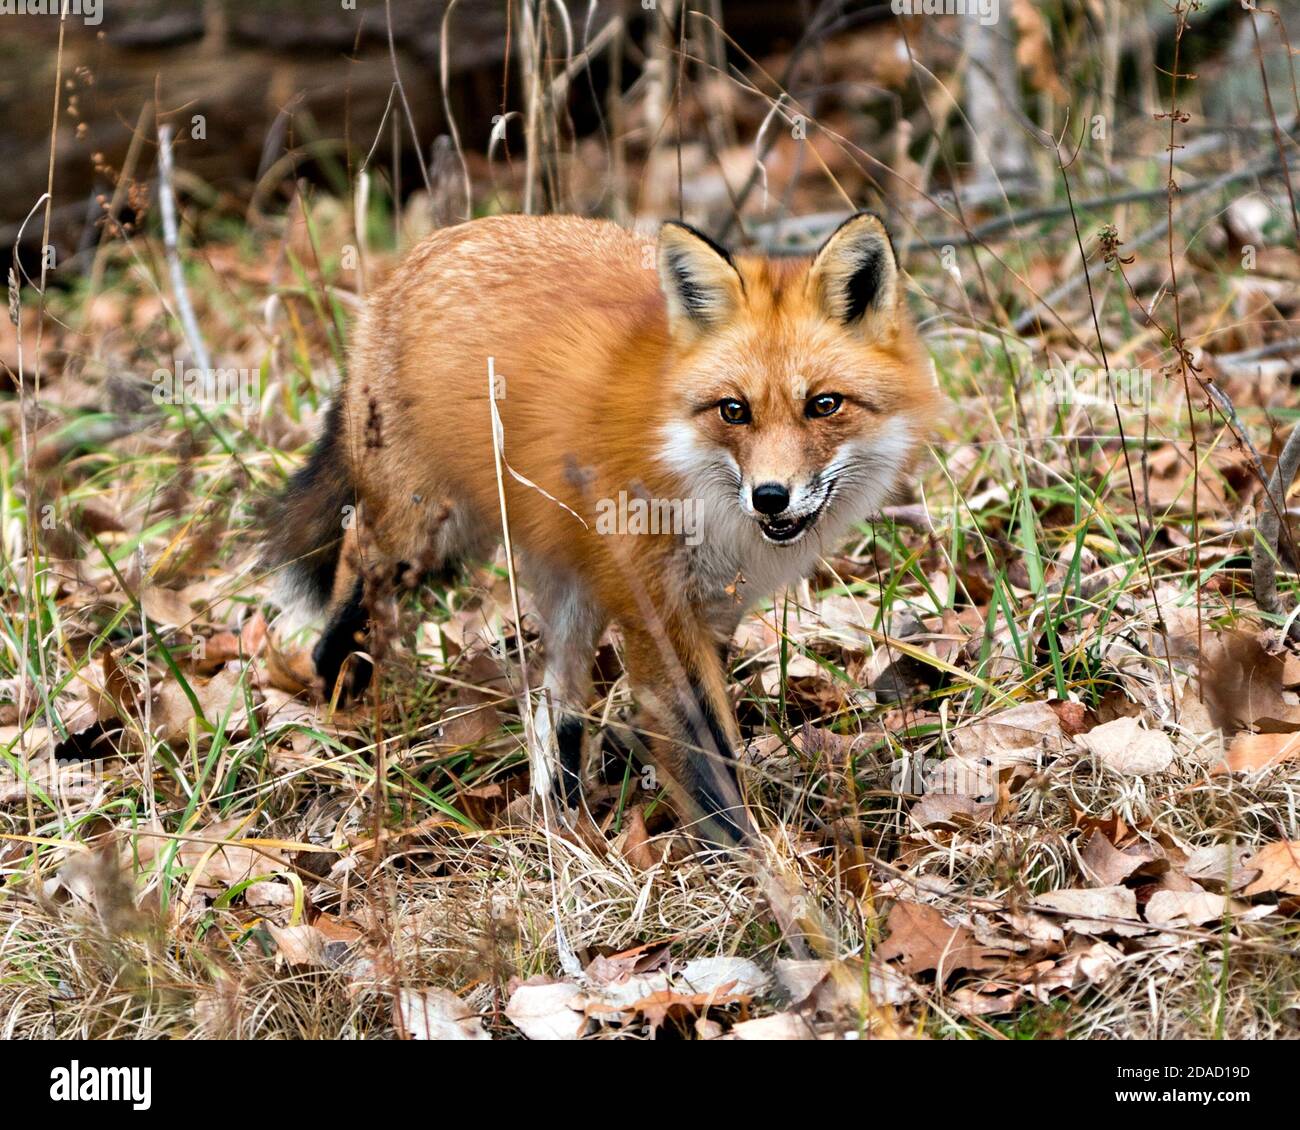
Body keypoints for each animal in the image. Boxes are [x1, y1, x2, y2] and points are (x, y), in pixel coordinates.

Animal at [263, 211, 938, 845]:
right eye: (734, 411)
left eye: (823, 405)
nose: (770, 498)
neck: (681, 464)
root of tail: (419, 255)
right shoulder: (656, 612)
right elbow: (710, 763)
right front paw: (756, 867)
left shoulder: (712, 610)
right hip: (430, 538)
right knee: (354, 571)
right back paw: (336, 688)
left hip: (567, 582)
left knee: (558, 707)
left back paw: (564, 819)